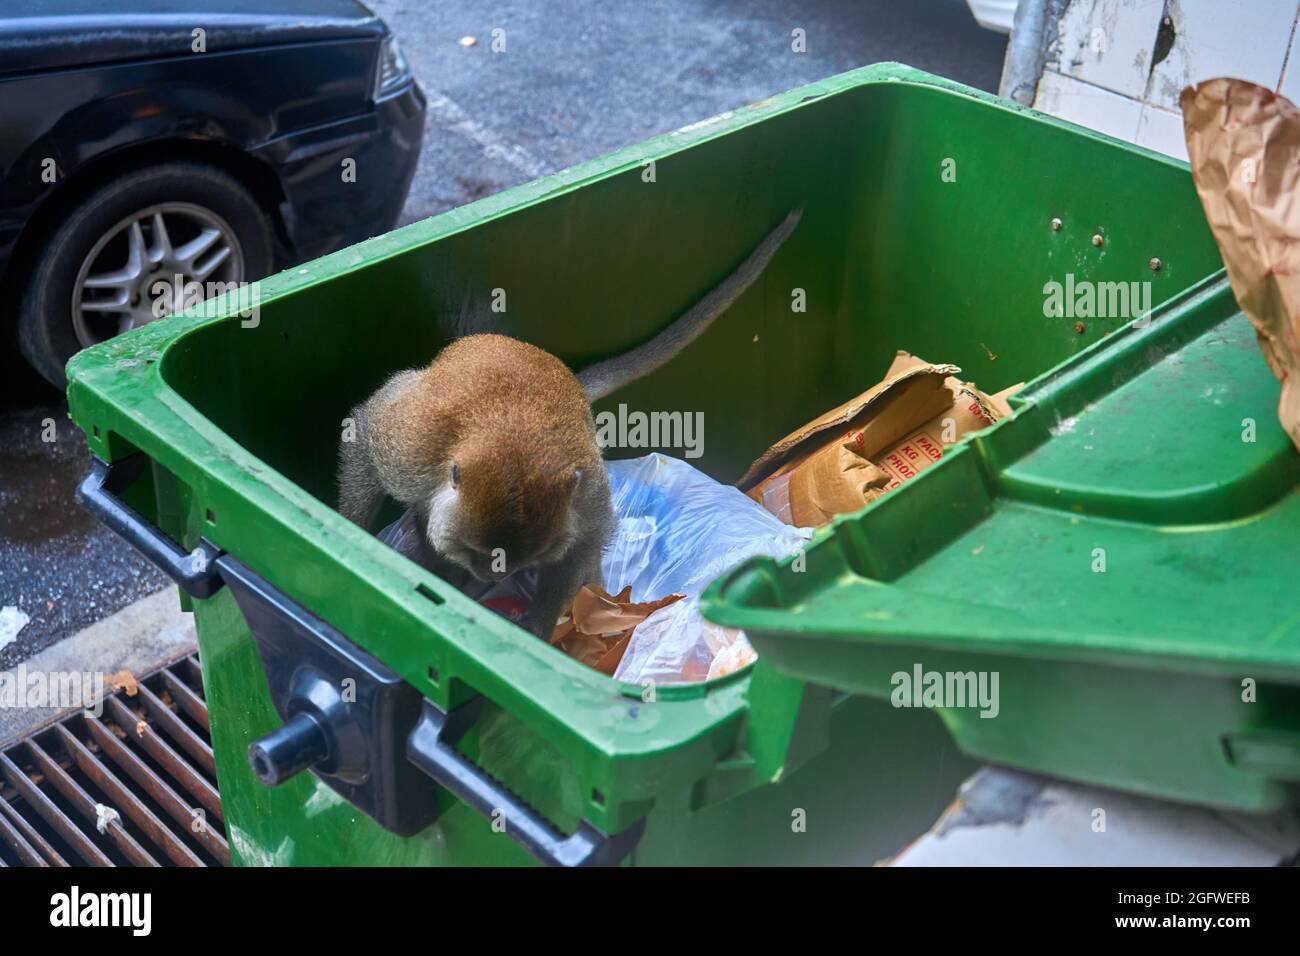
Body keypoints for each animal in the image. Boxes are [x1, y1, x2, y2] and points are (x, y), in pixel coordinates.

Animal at [338, 207, 802, 639]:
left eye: (520, 561)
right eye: (473, 551)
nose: (490, 576)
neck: (509, 441)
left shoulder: (583, 491)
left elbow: (584, 542)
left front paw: (538, 624)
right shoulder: (410, 449)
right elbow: (362, 435)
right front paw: (352, 535)